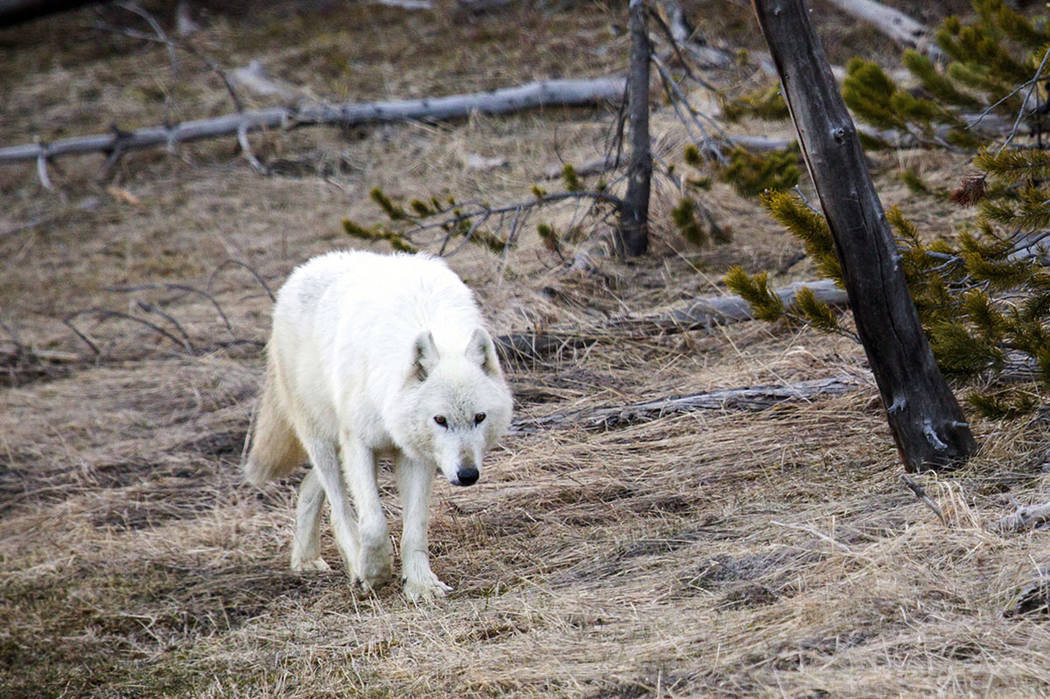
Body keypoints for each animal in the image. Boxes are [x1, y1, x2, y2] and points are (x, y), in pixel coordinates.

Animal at [244, 250, 513, 602]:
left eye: (479, 418)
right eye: (440, 420)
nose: (467, 475)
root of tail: (305, 268)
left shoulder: (415, 454)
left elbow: (415, 528)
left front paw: (421, 585)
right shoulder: (359, 444)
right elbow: (373, 524)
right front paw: (374, 572)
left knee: (309, 487)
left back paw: (306, 560)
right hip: (323, 439)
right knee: (339, 507)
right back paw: (351, 565)